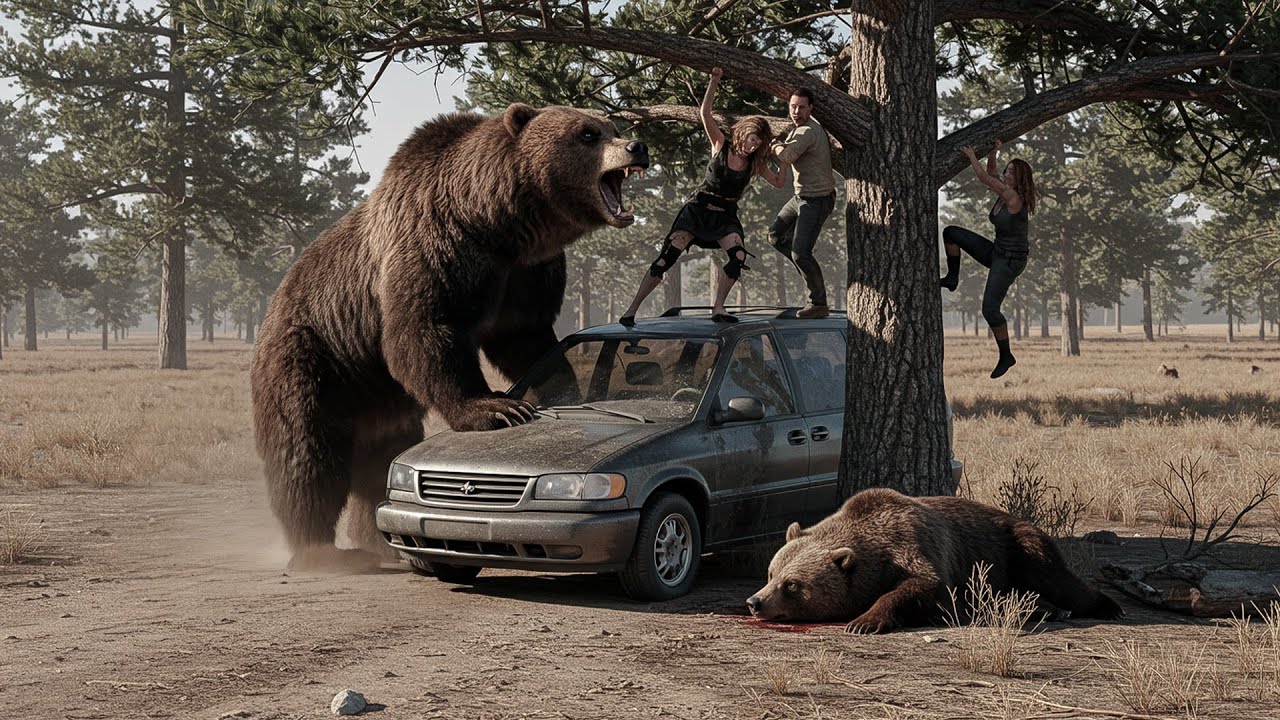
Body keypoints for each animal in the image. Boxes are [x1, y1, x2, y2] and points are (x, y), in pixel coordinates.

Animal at [251, 103, 649, 570]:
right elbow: (423, 331)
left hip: (380, 404)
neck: (497, 223)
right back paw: (321, 551)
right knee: (306, 457)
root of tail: (269, 314)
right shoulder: (435, 248)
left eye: (611, 125)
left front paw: (558, 392)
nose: (637, 146)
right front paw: (496, 408)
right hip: (313, 359)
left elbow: (527, 342)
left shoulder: (525, 276)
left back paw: (380, 543)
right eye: (588, 133)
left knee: (377, 465)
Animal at [745, 488, 1123, 633]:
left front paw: (864, 621)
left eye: (792, 584)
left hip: (1016, 545)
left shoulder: (917, 547)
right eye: (770, 573)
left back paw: (1106, 606)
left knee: (1057, 580)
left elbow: (925, 586)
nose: (755, 602)